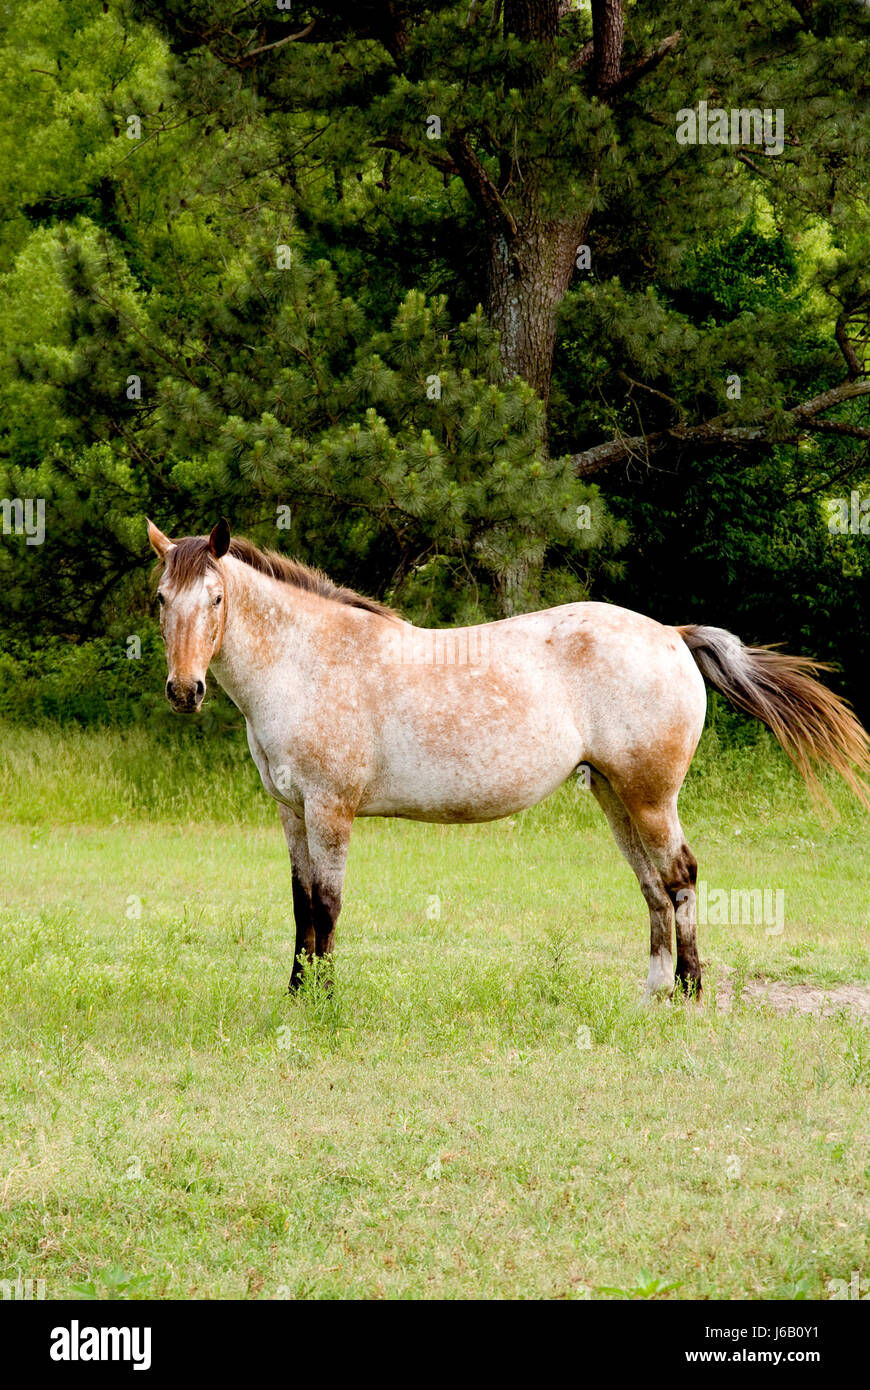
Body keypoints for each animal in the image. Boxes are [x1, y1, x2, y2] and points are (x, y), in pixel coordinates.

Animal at [147, 517, 870, 1001]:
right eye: (160, 599)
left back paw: (689, 993)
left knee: (679, 877)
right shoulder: (293, 812)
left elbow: (326, 906)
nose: (185, 691)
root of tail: (670, 633)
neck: (310, 661)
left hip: (650, 798)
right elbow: (301, 905)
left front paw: (324, 1003)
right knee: (652, 888)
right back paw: (653, 992)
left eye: (216, 599)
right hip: (615, 797)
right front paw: (297, 997)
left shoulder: (330, 811)